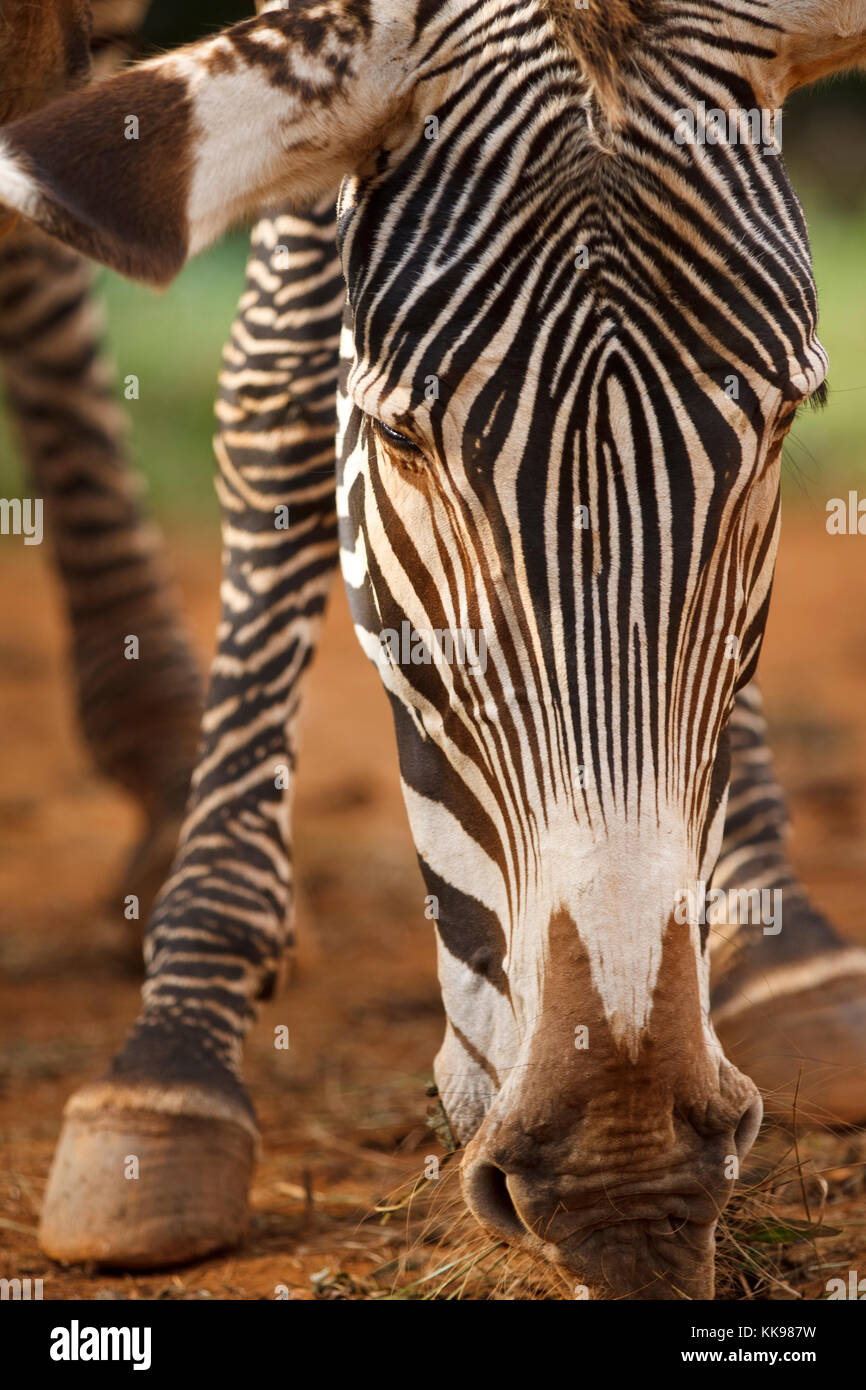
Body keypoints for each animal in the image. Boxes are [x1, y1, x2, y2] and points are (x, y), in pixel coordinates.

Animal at [1, 0, 865, 1297]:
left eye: (785, 422)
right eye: (398, 439)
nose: (627, 1180)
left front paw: (776, 928)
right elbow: (273, 383)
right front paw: (175, 1052)